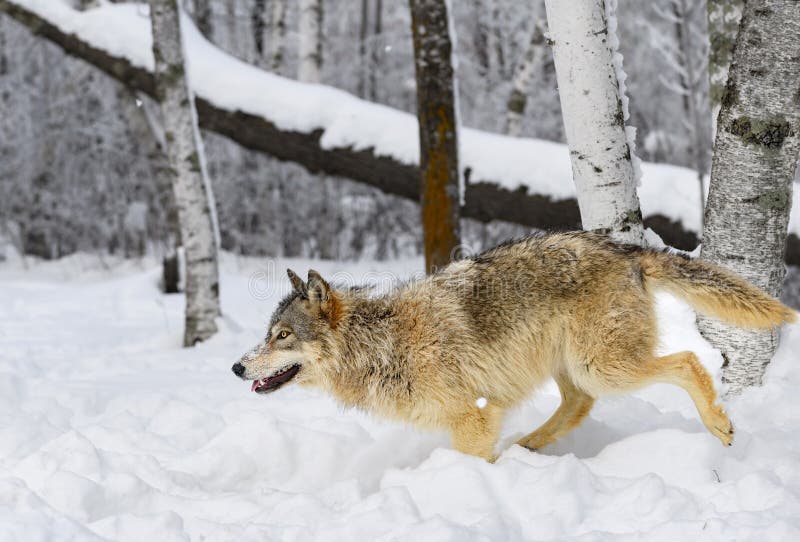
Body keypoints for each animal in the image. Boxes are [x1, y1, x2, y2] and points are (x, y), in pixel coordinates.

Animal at [232, 232, 796, 461]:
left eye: (283, 336)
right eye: (268, 333)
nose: (237, 367)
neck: (384, 343)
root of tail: (626, 249)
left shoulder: (473, 416)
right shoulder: (477, 416)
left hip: (600, 366)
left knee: (687, 361)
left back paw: (719, 426)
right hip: (574, 369)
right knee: (578, 405)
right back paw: (526, 447)